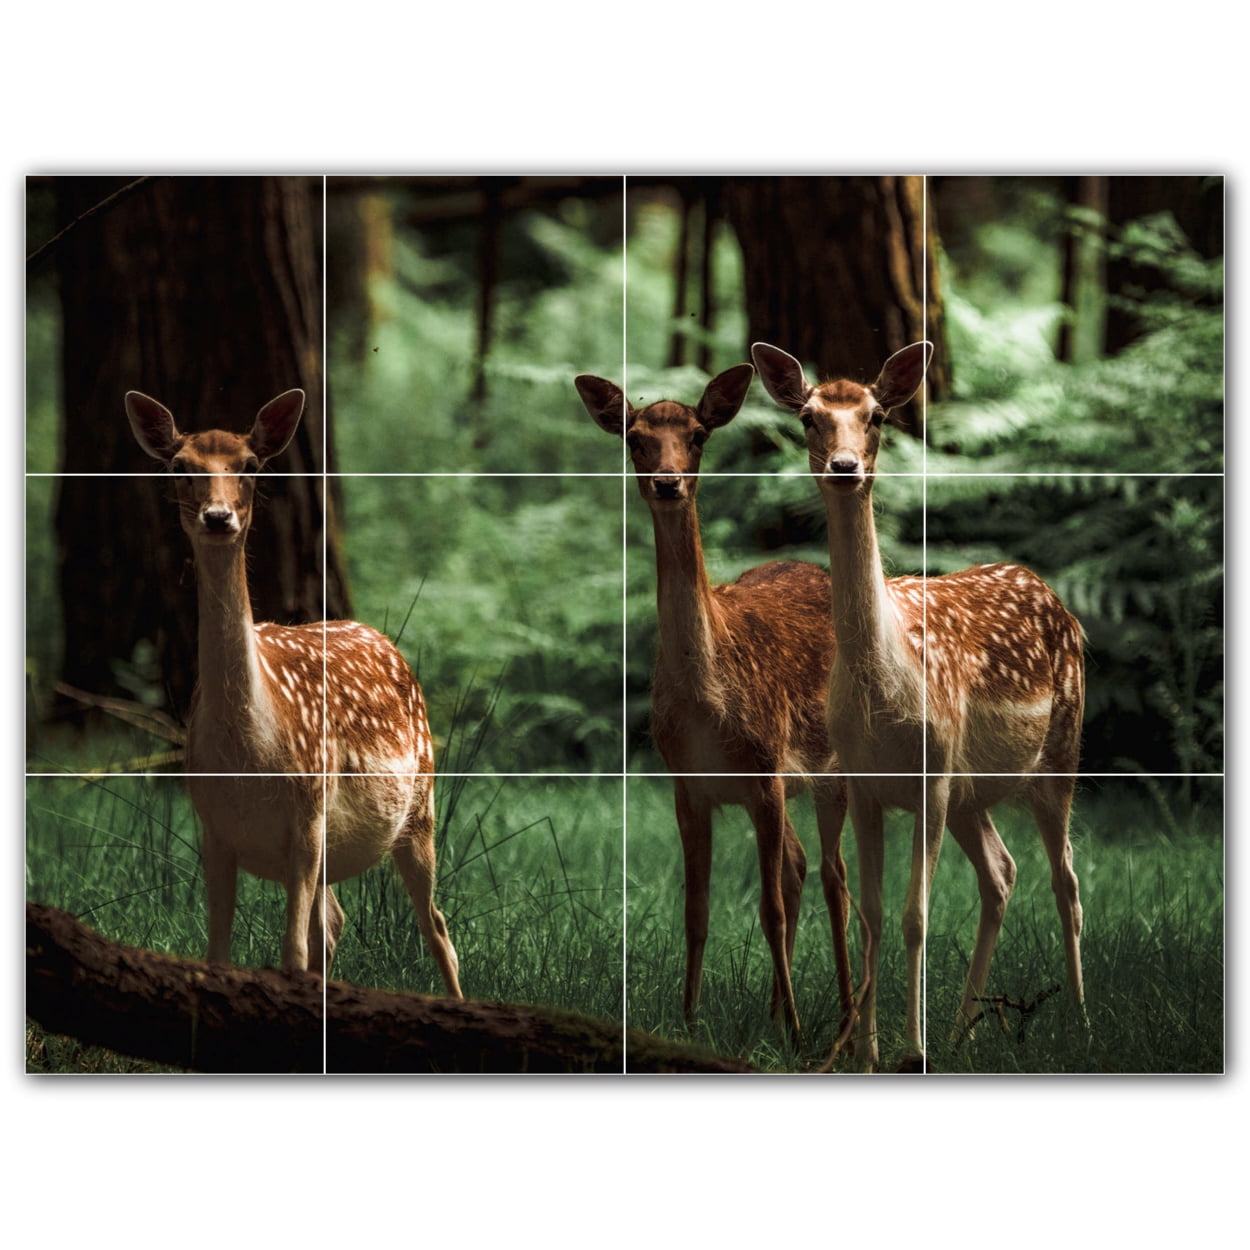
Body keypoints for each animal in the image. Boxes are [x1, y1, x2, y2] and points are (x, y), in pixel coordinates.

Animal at [125, 387, 462, 997]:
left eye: (251, 466)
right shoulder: (212, 827)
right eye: (180, 466)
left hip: (421, 802)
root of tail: (383, 638)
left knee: (436, 926)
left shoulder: (308, 811)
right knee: (336, 923)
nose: (218, 517)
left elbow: (291, 952)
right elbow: (218, 953)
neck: (249, 752)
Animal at [575, 364, 851, 1045]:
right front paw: (689, 1018)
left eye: (698, 435)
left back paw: (839, 1015)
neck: (709, 703)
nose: (668, 481)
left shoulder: (766, 769)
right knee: (800, 866)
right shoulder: (688, 784)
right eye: (635, 438)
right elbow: (695, 908)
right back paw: (779, 1010)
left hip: (830, 766)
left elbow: (769, 909)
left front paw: (795, 1031)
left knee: (834, 878)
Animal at [752, 340, 1085, 1071]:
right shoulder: (865, 781)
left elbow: (915, 917)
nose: (845, 467)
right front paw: (867, 1053)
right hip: (970, 791)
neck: (887, 690)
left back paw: (1080, 1020)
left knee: (1066, 881)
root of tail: (1056, 598)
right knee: (1001, 873)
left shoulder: (931, 776)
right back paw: (965, 1031)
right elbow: (872, 915)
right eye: (809, 417)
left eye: (876, 415)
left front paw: (912, 1050)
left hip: (1061, 749)